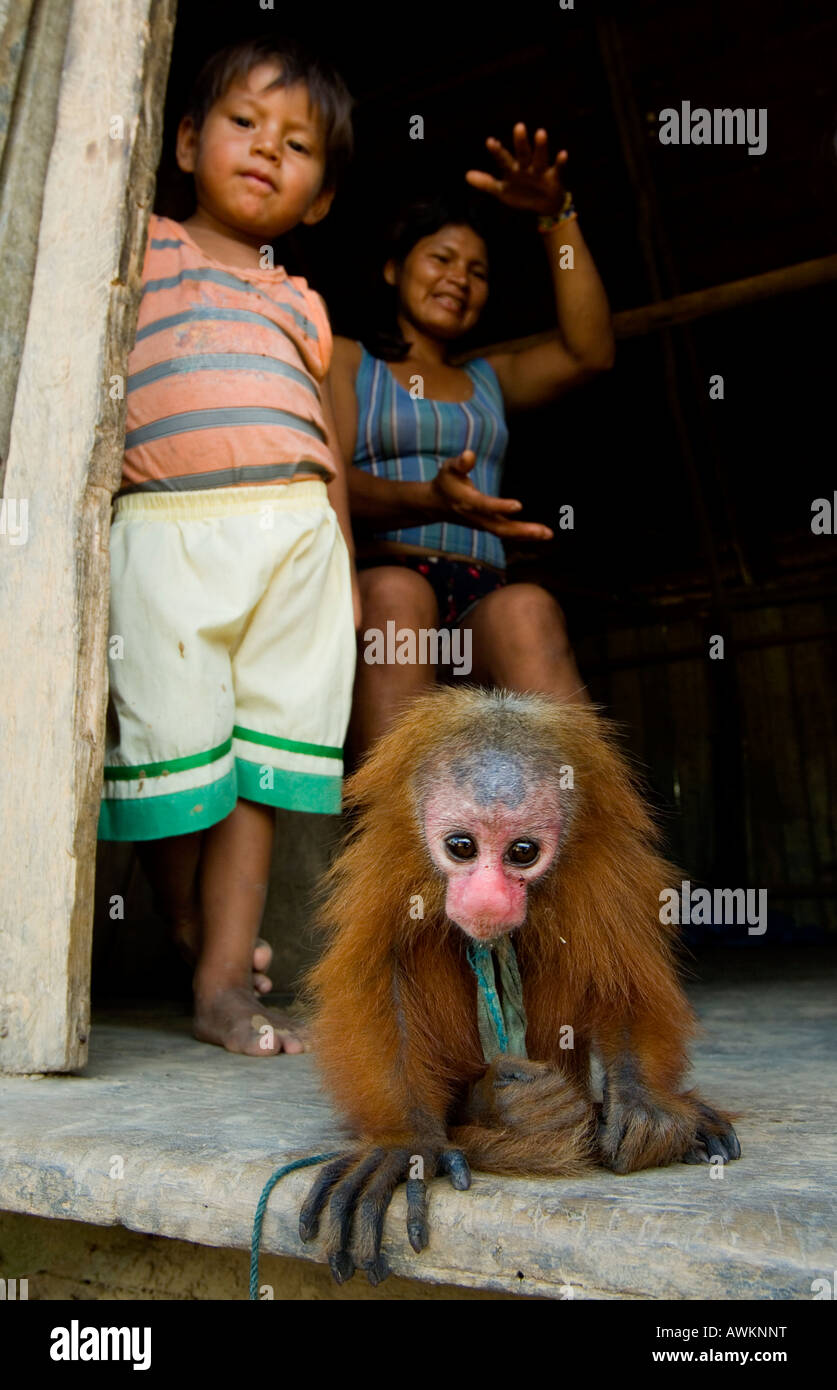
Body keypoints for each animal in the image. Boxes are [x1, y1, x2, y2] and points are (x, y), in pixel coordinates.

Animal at [299, 687, 740, 1284]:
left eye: (522, 853)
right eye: (462, 846)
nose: (488, 899)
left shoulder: (601, 871)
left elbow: (626, 984)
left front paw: (640, 1102)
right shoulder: (390, 868)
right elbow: (377, 979)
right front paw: (405, 1144)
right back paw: (492, 1106)